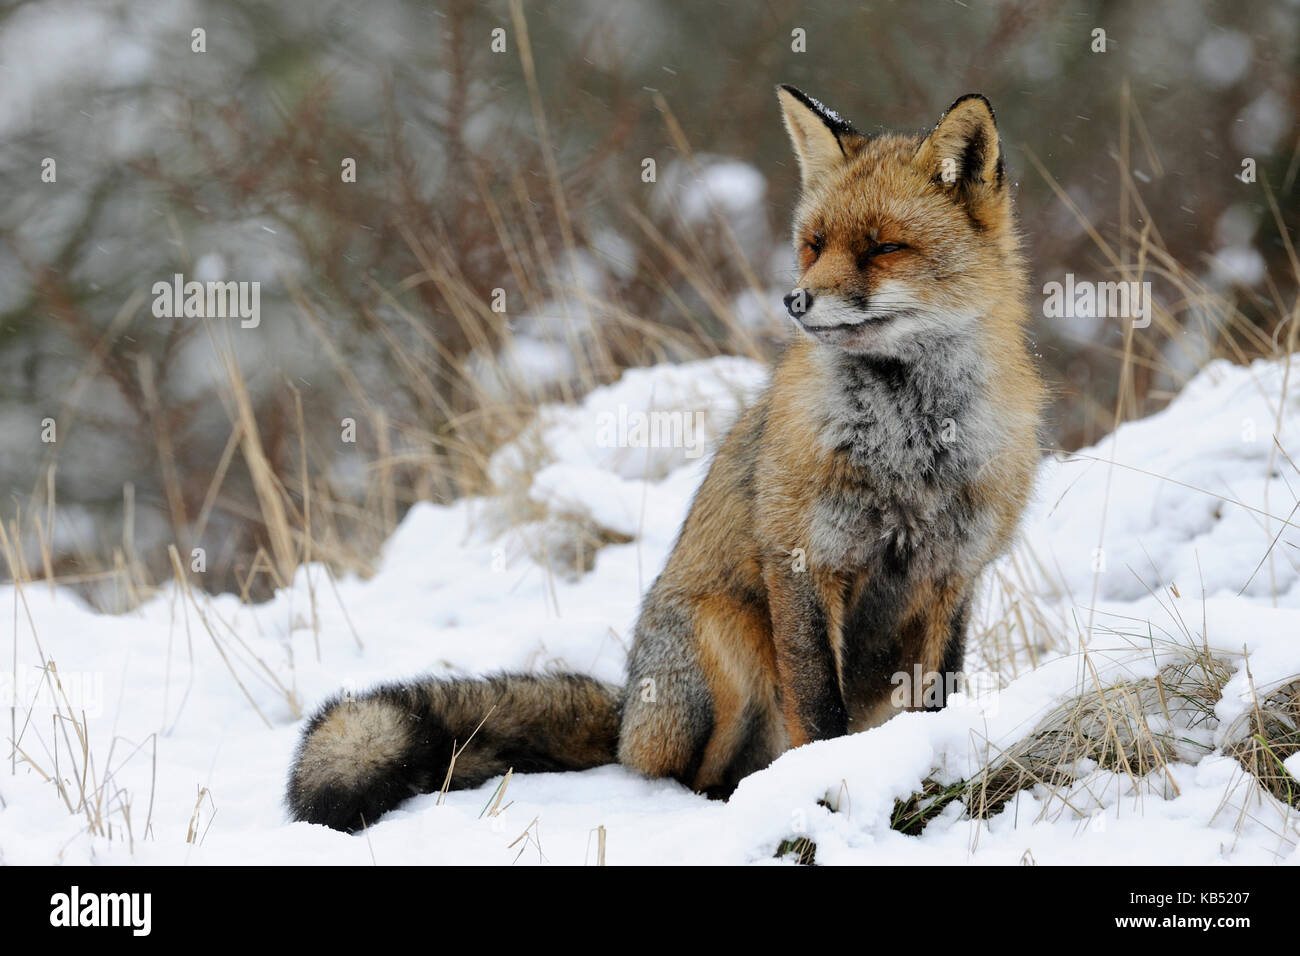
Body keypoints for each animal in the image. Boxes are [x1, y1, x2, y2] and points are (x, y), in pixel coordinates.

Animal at [287, 86, 1044, 831]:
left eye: (884, 247)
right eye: (814, 245)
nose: (795, 301)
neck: (910, 450)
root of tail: (626, 714)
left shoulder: (953, 576)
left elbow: (936, 701)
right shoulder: (802, 565)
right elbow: (818, 711)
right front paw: (828, 787)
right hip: (731, 642)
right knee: (688, 773)